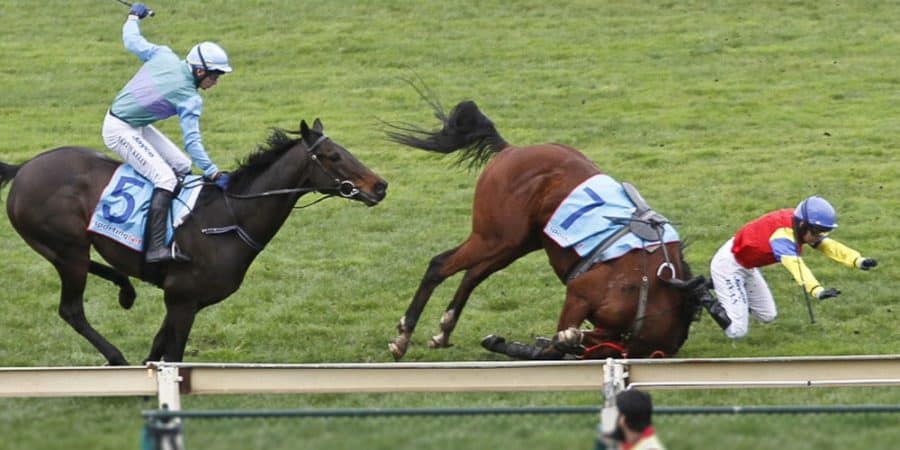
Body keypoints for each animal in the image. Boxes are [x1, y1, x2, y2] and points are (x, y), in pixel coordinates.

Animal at [0, 119, 387, 365]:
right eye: (334, 156)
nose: (380, 185)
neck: (229, 218)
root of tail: (24, 168)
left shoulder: (183, 301)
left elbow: (159, 348)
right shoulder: (183, 299)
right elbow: (174, 356)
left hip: (66, 248)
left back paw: (125, 289)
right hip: (67, 248)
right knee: (71, 309)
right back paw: (116, 357)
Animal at [385, 98, 706, 360]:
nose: (588, 344)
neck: (652, 284)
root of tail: (510, 150)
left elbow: (556, 346)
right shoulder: (581, 292)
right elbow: (554, 346)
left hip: (512, 244)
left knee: (472, 275)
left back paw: (444, 330)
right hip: (492, 238)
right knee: (440, 265)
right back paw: (403, 336)